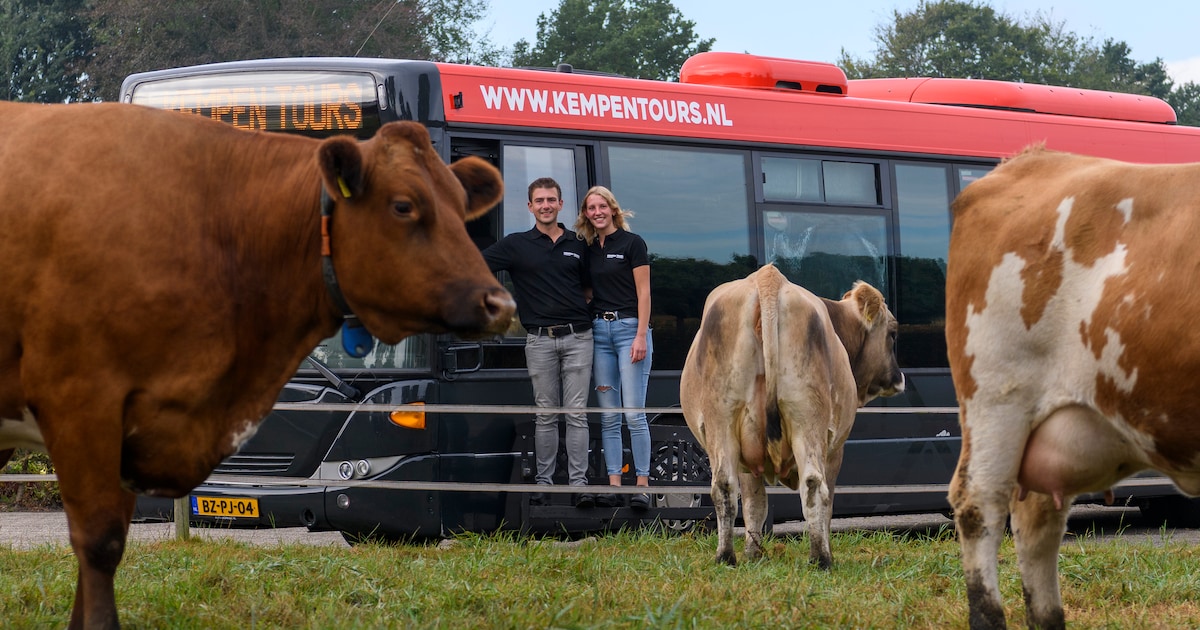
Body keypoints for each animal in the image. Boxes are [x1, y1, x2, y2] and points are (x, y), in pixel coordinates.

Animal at [680, 264, 904, 568]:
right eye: (892, 333)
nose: (899, 378)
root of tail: (767, 277)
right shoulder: (835, 450)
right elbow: (827, 503)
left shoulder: (747, 459)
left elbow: (755, 503)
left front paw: (753, 553)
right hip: (807, 420)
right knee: (814, 485)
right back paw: (821, 558)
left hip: (722, 419)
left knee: (724, 487)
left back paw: (725, 556)